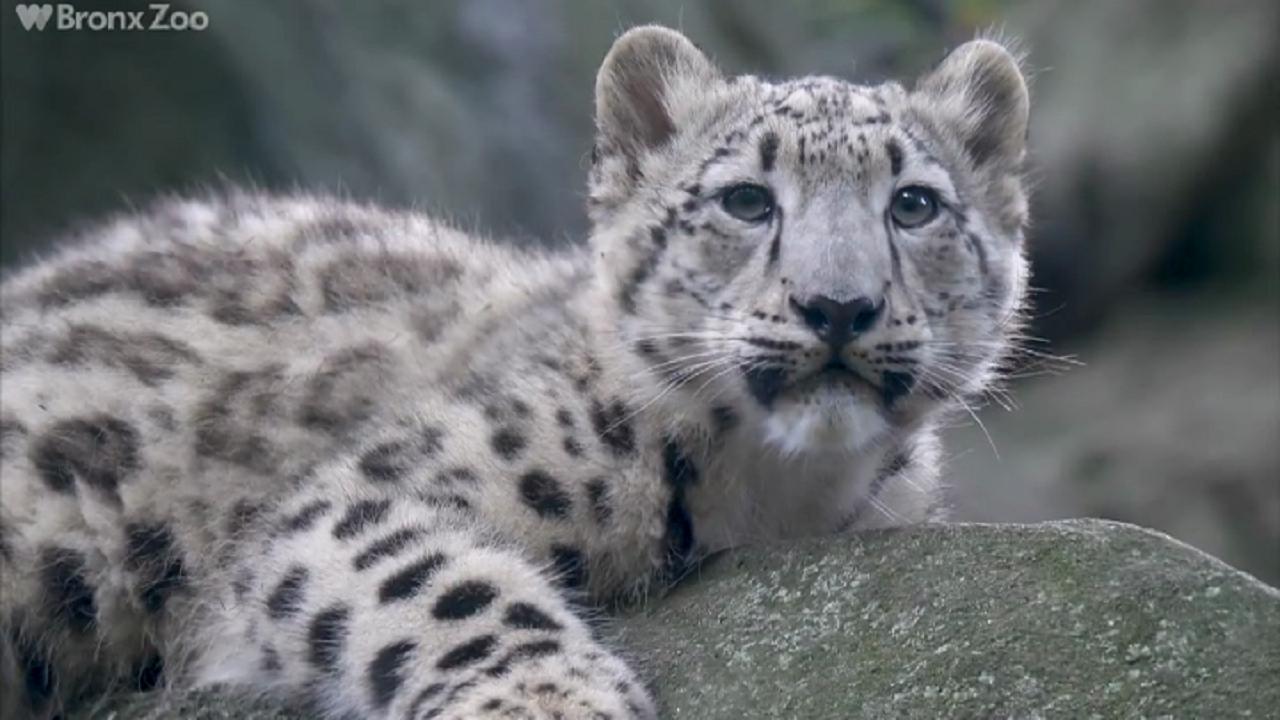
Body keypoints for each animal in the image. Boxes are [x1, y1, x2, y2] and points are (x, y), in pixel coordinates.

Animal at [0, 25, 1030, 720]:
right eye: (745, 199)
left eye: (914, 204)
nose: (838, 306)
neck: (781, 494)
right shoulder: (358, 494)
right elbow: (436, 579)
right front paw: (553, 700)